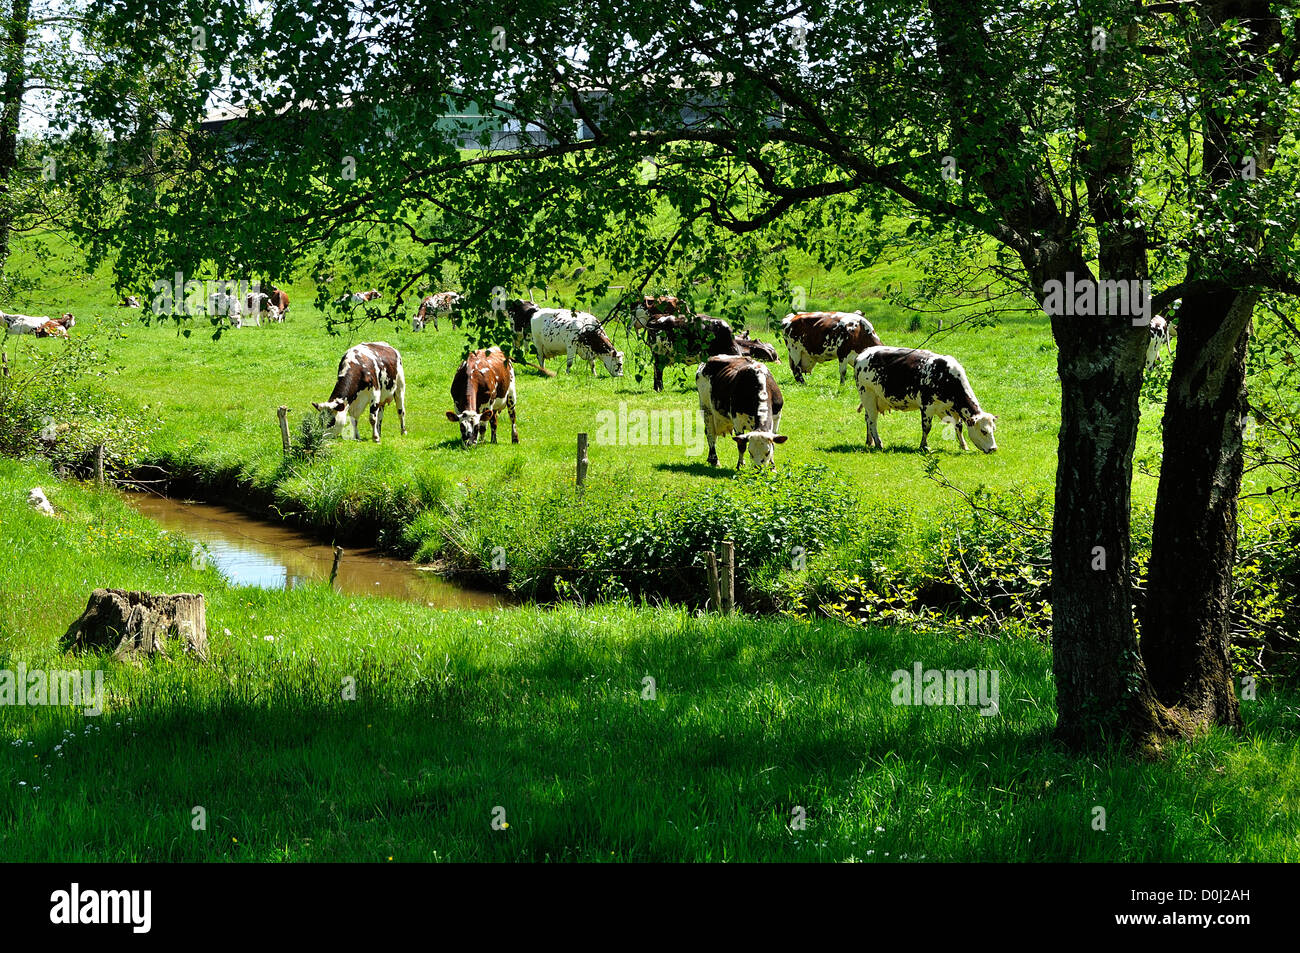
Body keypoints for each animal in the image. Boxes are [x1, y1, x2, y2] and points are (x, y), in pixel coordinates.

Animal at [853, 346, 998, 453]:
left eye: (994, 429)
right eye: (983, 431)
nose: (993, 449)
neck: (946, 377)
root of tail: (864, 352)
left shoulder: (950, 408)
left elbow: (959, 426)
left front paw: (964, 446)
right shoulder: (927, 407)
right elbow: (927, 427)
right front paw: (924, 446)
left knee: (867, 418)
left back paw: (870, 441)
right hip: (867, 393)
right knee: (872, 421)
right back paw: (878, 443)